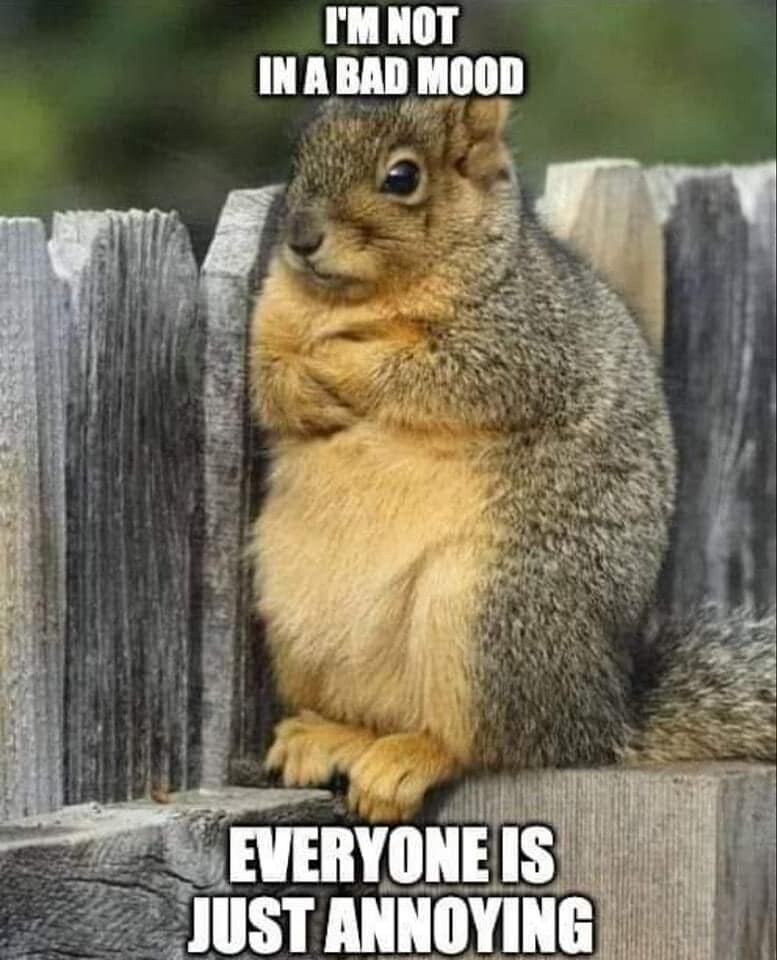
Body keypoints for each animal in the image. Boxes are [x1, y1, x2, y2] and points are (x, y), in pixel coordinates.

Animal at [247, 95, 776, 823]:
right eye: (300, 154)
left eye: (402, 177)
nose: (299, 239)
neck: (357, 298)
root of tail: (603, 719)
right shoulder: (269, 319)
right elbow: (266, 381)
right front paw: (302, 385)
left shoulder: (521, 340)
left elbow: (430, 373)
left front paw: (339, 360)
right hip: (292, 617)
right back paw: (330, 735)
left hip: (487, 616)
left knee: (493, 744)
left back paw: (408, 760)